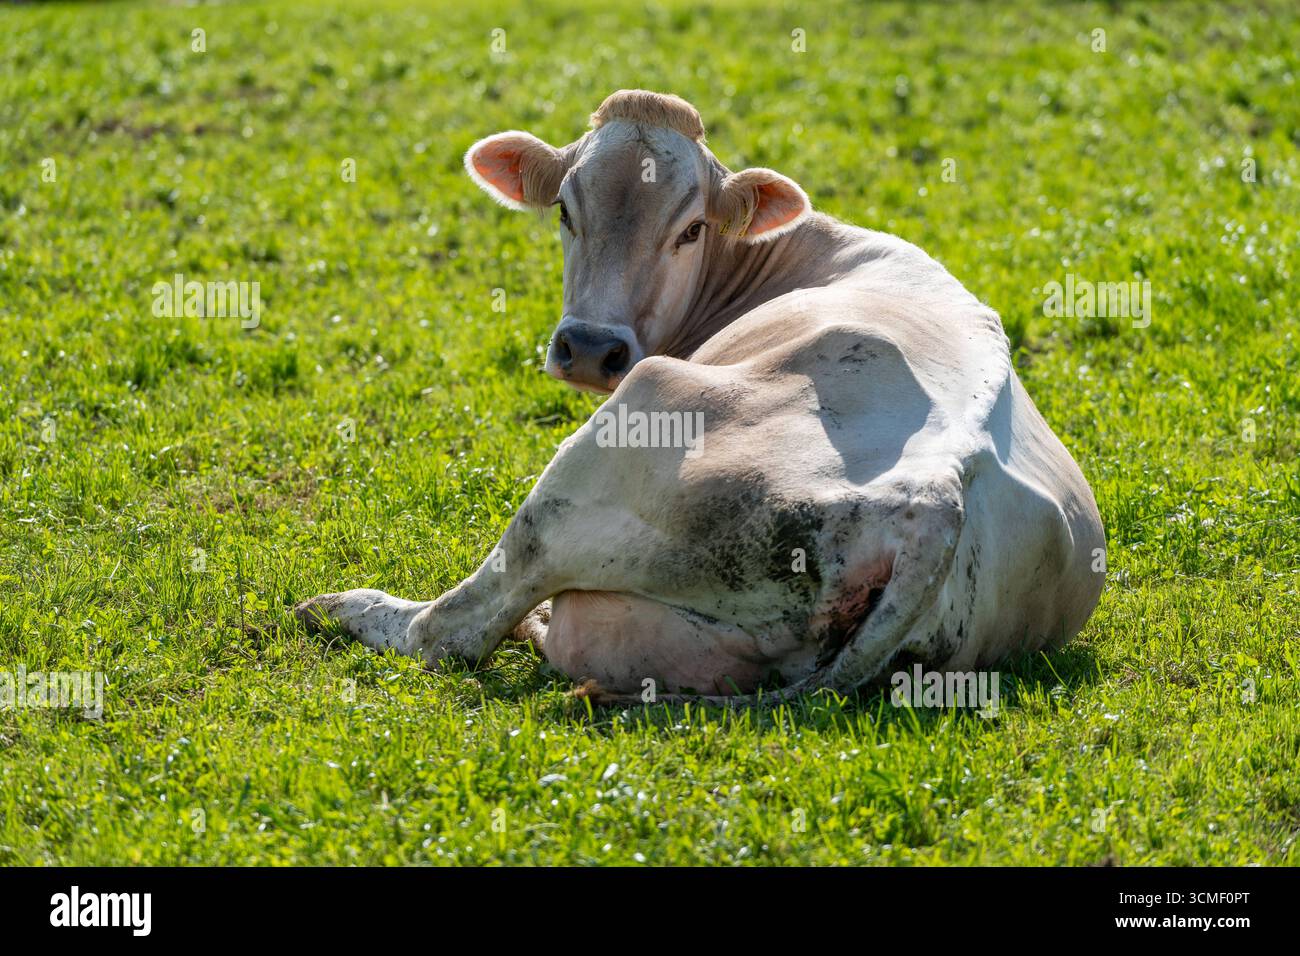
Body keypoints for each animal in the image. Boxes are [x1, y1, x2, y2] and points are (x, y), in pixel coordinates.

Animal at [295, 90, 1105, 704]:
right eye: (564, 211)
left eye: (691, 230)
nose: (589, 346)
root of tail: (934, 496)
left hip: (614, 443)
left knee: (455, 629)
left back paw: (347, 605)